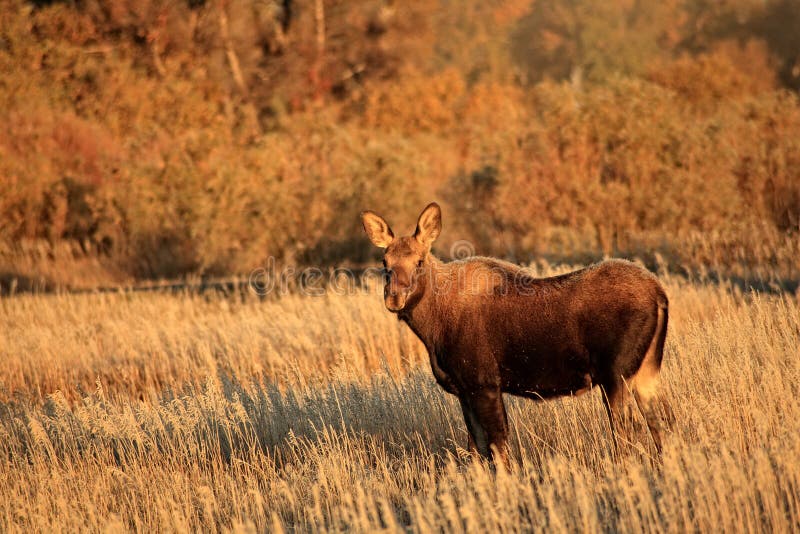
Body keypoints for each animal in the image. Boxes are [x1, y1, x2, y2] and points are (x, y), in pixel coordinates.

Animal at [361, 202, 670, 465]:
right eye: (385, 262)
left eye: (419, 261)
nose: (394, 298)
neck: (432, 329)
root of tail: (660, 295)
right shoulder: (464, 390)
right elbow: (477, 451)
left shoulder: (484, 384)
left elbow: (498, 450)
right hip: (646, 371)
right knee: (663, 424)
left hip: (615, 374)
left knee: (628, 433)